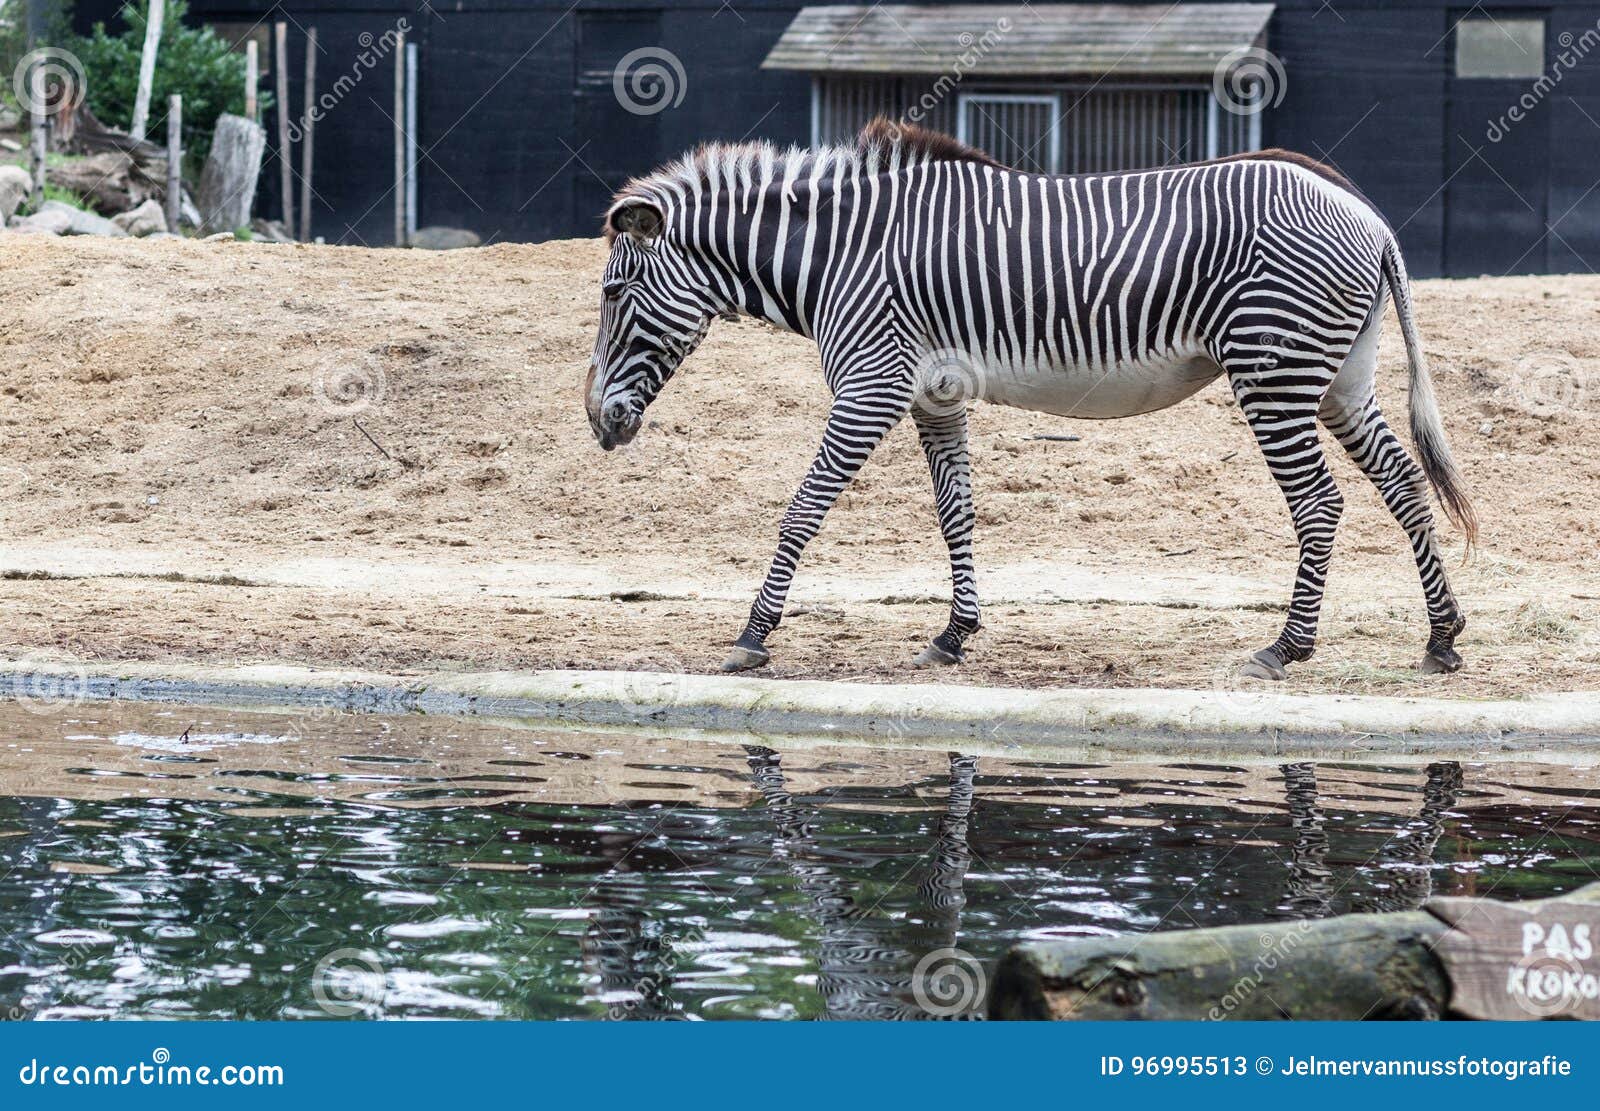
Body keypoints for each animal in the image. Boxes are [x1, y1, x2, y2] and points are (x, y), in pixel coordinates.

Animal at [585, 119, 1477, 682]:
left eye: (614, 291)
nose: (599, 421)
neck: (836, 256)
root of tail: (1368, 216)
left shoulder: (872, 383)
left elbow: (803, 507)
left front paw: (751, 636)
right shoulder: (933, 393)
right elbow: (956, 511)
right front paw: (954, 633)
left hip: (1274, 372)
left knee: (1321, 503)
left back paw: (1286, 647)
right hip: (1340, 379)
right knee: (1403, 484)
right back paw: (1440, 637)